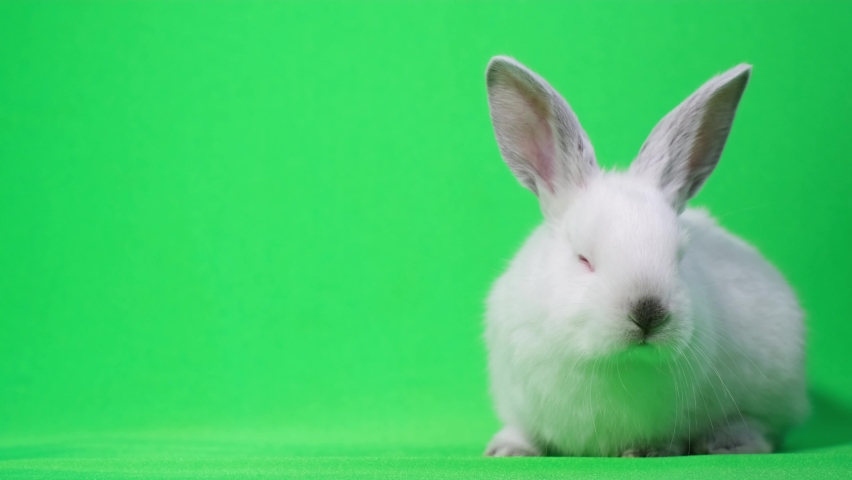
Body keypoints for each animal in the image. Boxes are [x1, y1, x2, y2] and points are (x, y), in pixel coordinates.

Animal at [482, 56, 808, 457]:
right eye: (583, 258)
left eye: (679, 257)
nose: (649, 313)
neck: (614, 364)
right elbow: (525, 429)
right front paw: (507, 450)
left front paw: (650, 450)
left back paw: (729, 443)